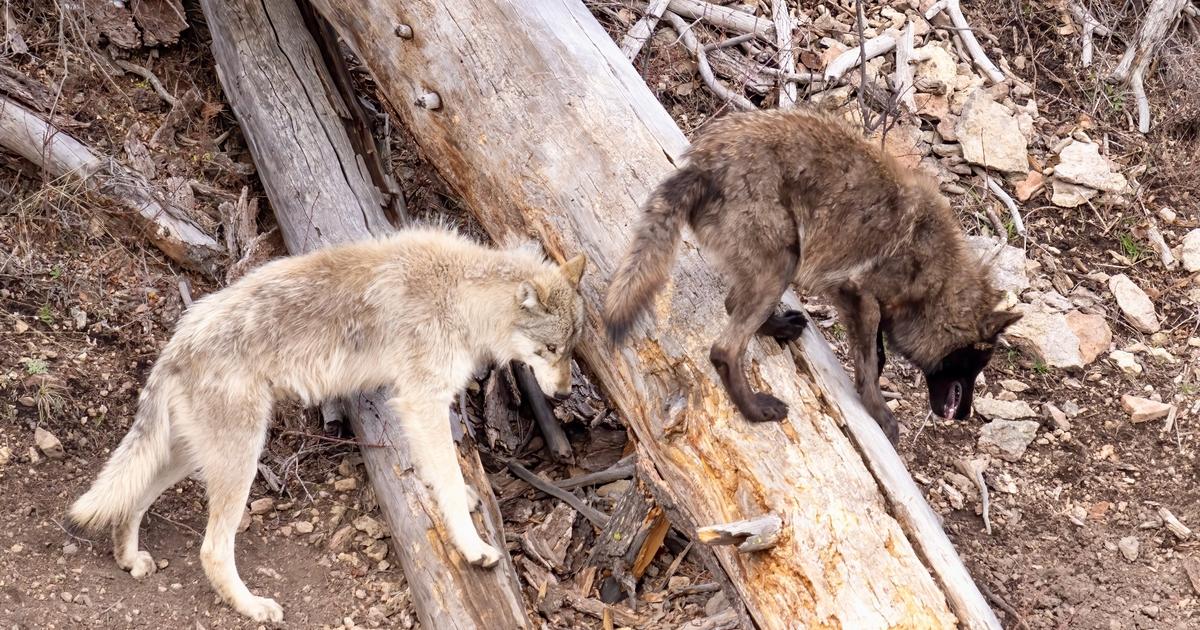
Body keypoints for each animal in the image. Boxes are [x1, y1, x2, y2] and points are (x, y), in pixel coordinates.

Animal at [65, 226, 586, 622]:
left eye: (570, 350)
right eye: (551, 350)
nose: (563, 395)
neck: (459, 296)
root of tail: (176, 343)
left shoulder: (418, 405)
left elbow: (445, 477)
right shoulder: (422, 402)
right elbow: (451, 485)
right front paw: (474, 548)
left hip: (187, 457)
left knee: (130, 500)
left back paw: (129, 559)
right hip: (239, 461)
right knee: (211, 550)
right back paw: (253, 608)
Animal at [603, 109, 1020, 443]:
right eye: (977, 363)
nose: (963, 416)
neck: (936, 280)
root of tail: (702, 164)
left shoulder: (860, 301)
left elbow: (877, 352)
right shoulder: (858, 295)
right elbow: (870, 363)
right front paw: (879, 413)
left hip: (774, 267)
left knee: (733, 303)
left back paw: (777, 327)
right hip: (782, 264)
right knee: (725, 349)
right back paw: (756, 409)